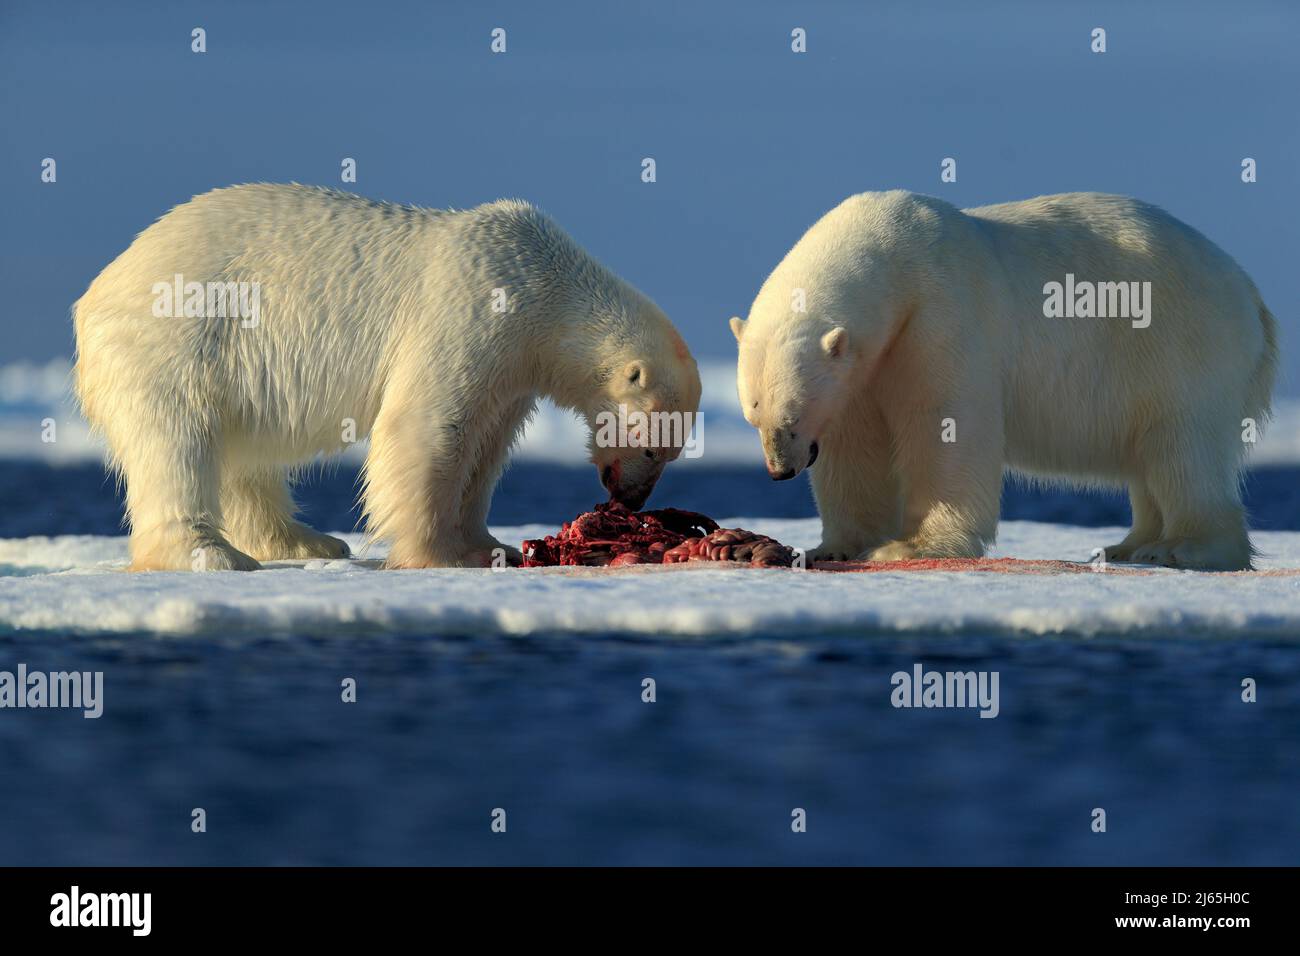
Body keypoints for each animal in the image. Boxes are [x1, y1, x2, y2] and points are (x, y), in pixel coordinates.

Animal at [74, 184, 701, 570]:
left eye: (670, 453)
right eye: (654, 446)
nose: (631, 499)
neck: (546, 284)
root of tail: (98, 288)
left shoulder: (512, 366)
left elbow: (485, 444)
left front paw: (486, 542)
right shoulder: (475, 307)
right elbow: (428, 426)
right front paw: (439, 552)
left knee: (243, 456)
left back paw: (307, 541)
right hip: (178, 337)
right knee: (177, 442)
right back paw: (212, 554)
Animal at [731, 191, 1278, 571]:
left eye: (793, 416)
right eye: (753, 416)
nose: (780, 470)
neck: (894, 254)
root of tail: (1251, 293)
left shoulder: (940, 311)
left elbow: (945, 424)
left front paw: (910, 547)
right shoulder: (864, 368)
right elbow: (854, 447)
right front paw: (838, 547)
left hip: (1179, 344)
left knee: (1182, 447)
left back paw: (1182, 548)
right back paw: (1130, 544)